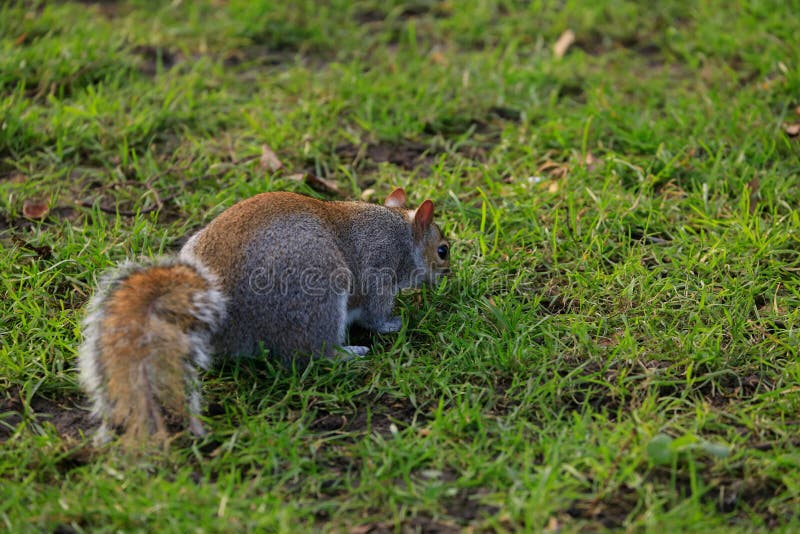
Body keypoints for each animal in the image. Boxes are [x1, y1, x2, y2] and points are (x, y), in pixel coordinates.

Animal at [78, 188, 450, 445]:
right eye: (443, 250)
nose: (450, 275)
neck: (399, 231)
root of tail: (222, 317)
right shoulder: (379, 269)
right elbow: (375, 312)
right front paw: (393, 323)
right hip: (316, 292)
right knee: (310, 352)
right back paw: (348, 354)